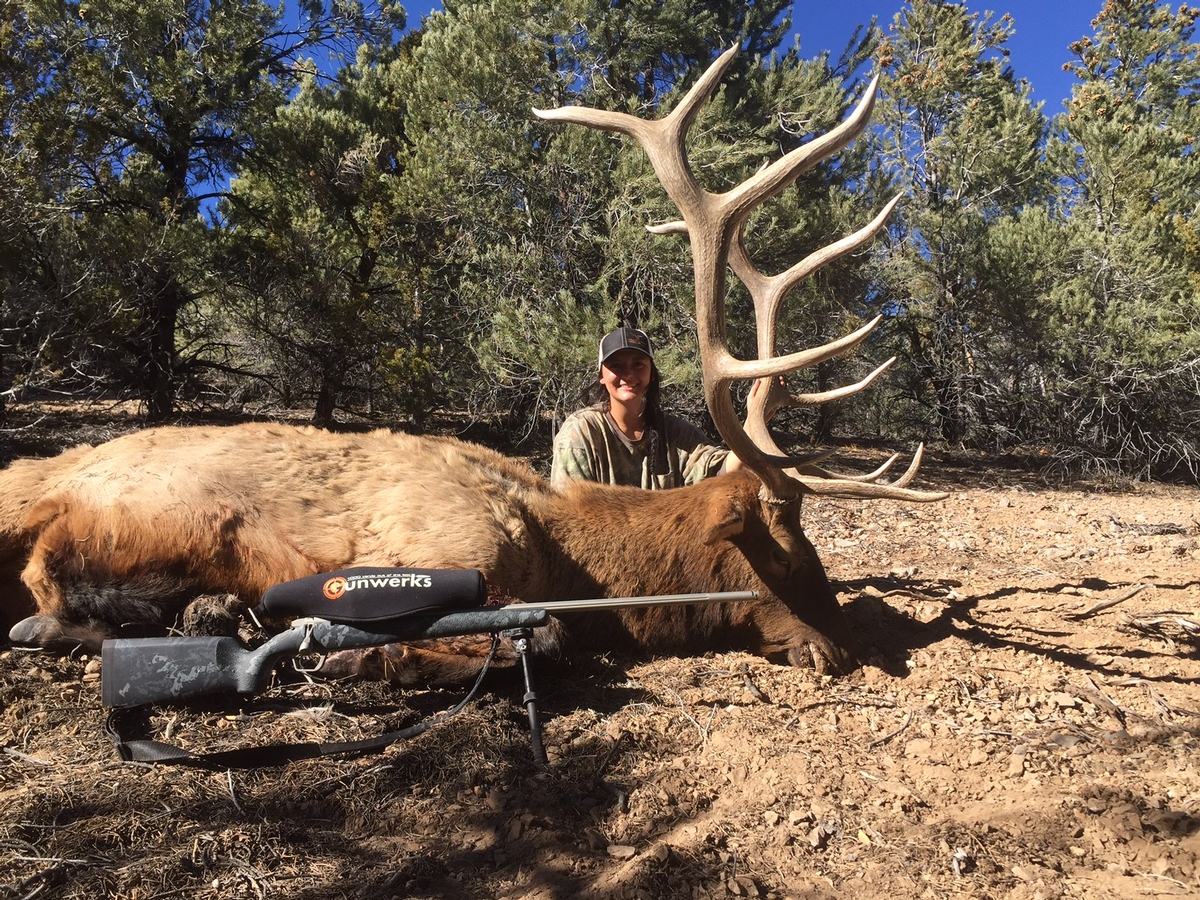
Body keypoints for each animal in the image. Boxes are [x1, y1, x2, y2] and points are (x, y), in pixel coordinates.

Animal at [2, 46, 944, 682]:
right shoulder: (430, 553)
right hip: (147, 519)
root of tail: (33, 476)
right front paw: (355, 663)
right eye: (785, 553)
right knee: (51, 575)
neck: (564, 552)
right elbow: (543, 637)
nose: (845, 648)